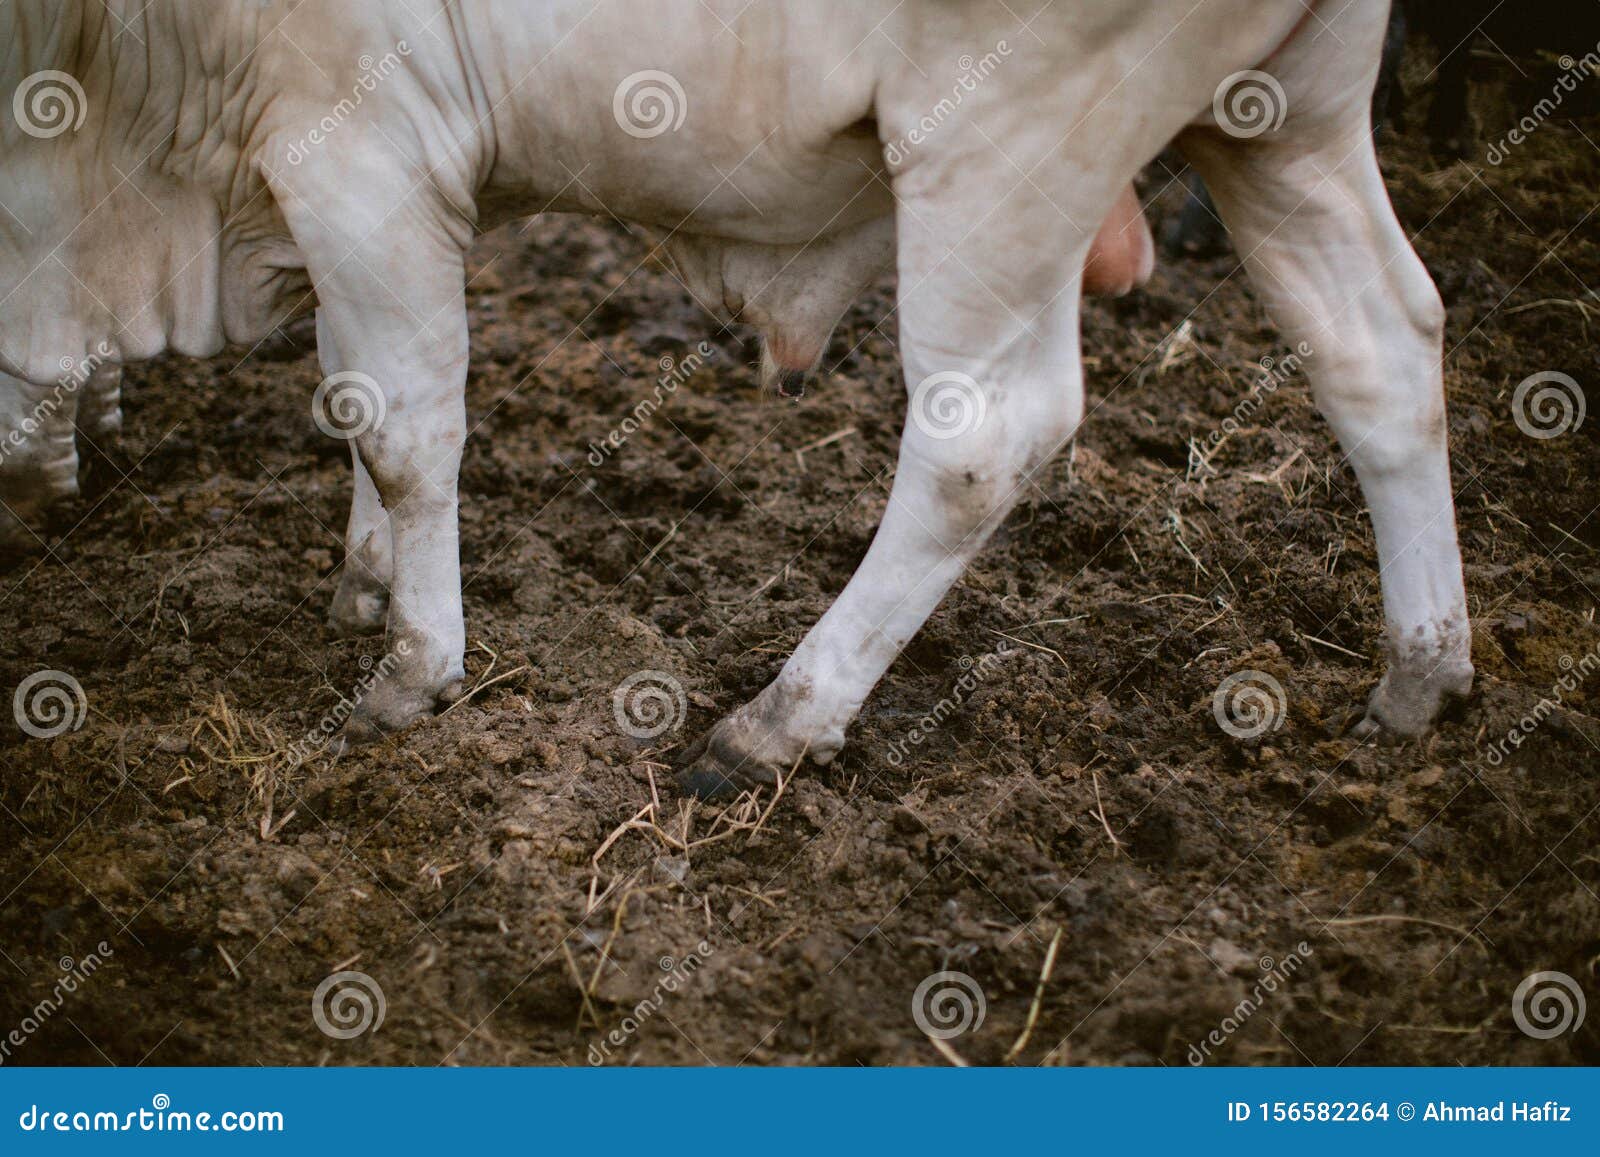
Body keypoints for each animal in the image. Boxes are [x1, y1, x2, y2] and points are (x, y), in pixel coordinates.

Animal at [0, 0, 1472, 797]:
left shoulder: (362, 153)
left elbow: (403, 426)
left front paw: (412, 669)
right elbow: (354, 402)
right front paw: (363, 583)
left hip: (1000, 161)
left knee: (986, 440)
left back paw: (776, 720)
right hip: (1282, 120)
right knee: (1382, 350)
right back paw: (1422, 675)